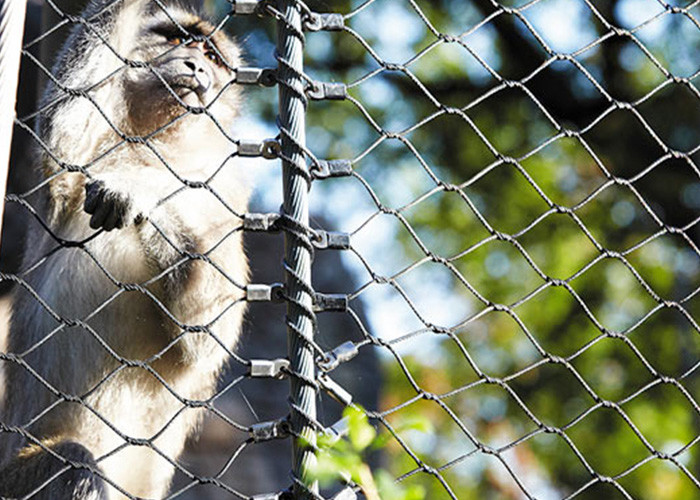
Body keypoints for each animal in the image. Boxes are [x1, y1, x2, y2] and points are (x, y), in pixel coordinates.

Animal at [0, 0, 251, 497]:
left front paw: (139, 196)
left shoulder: (227, 198)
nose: (195, 66)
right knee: (74, 462)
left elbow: (203, 339)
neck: (155, 144)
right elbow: (63, 131)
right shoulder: (75, 167)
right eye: (177, 39)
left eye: (211, 56)